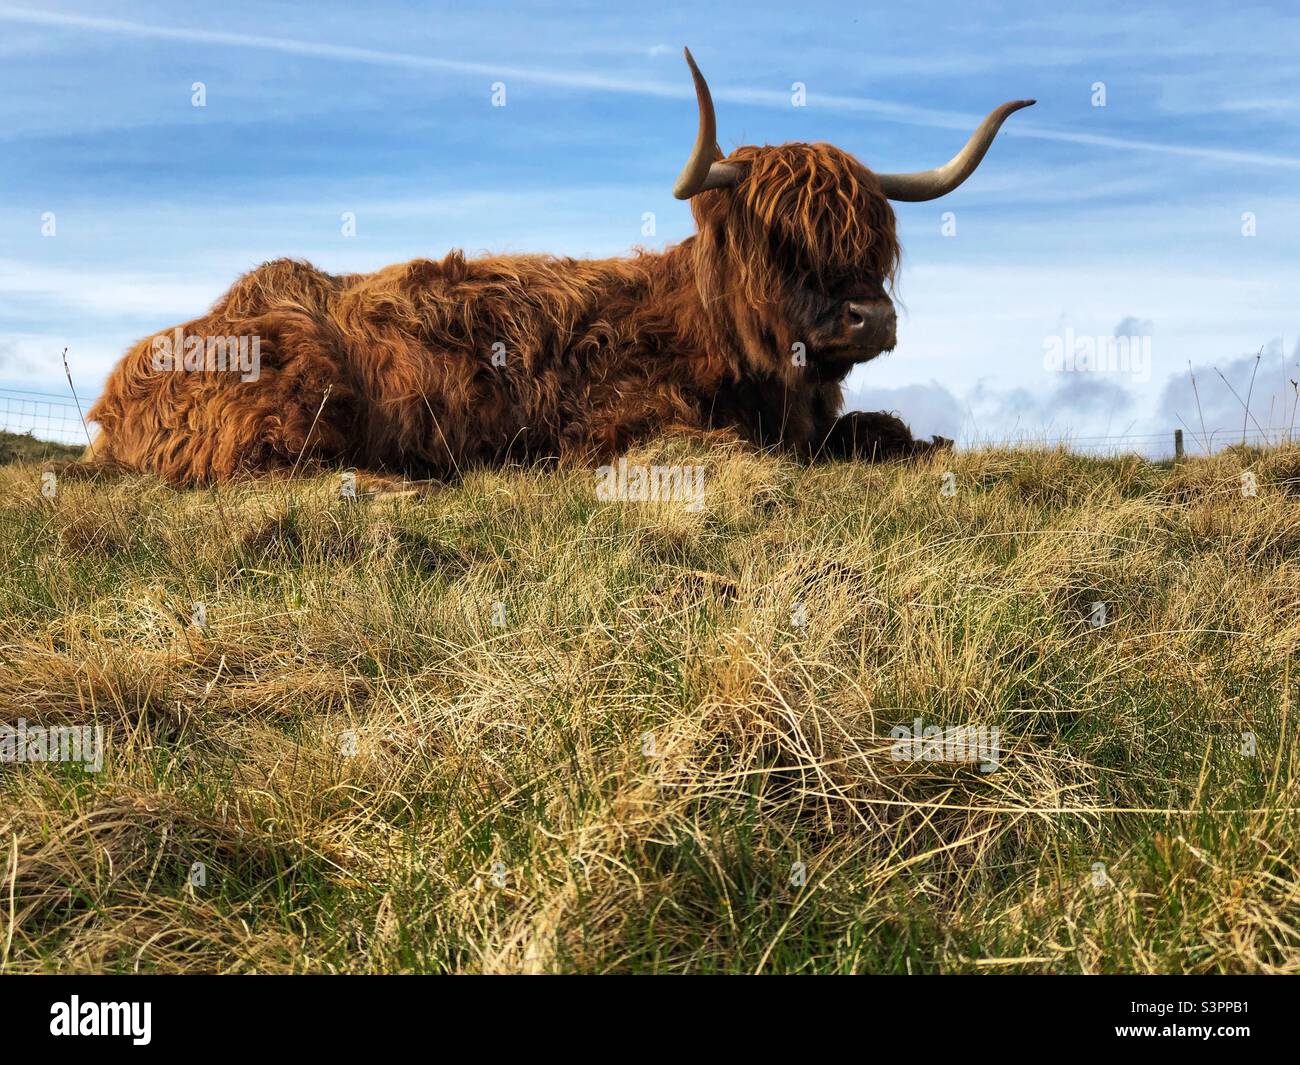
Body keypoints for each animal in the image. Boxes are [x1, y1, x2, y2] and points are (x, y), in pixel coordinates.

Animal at [84, 49, 1032, 486]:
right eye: (781, 240)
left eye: (876, 240)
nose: (870, 319)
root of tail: (113, 392)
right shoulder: (615, 422)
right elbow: (719, 446)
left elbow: (896, 430)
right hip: (293, 379)